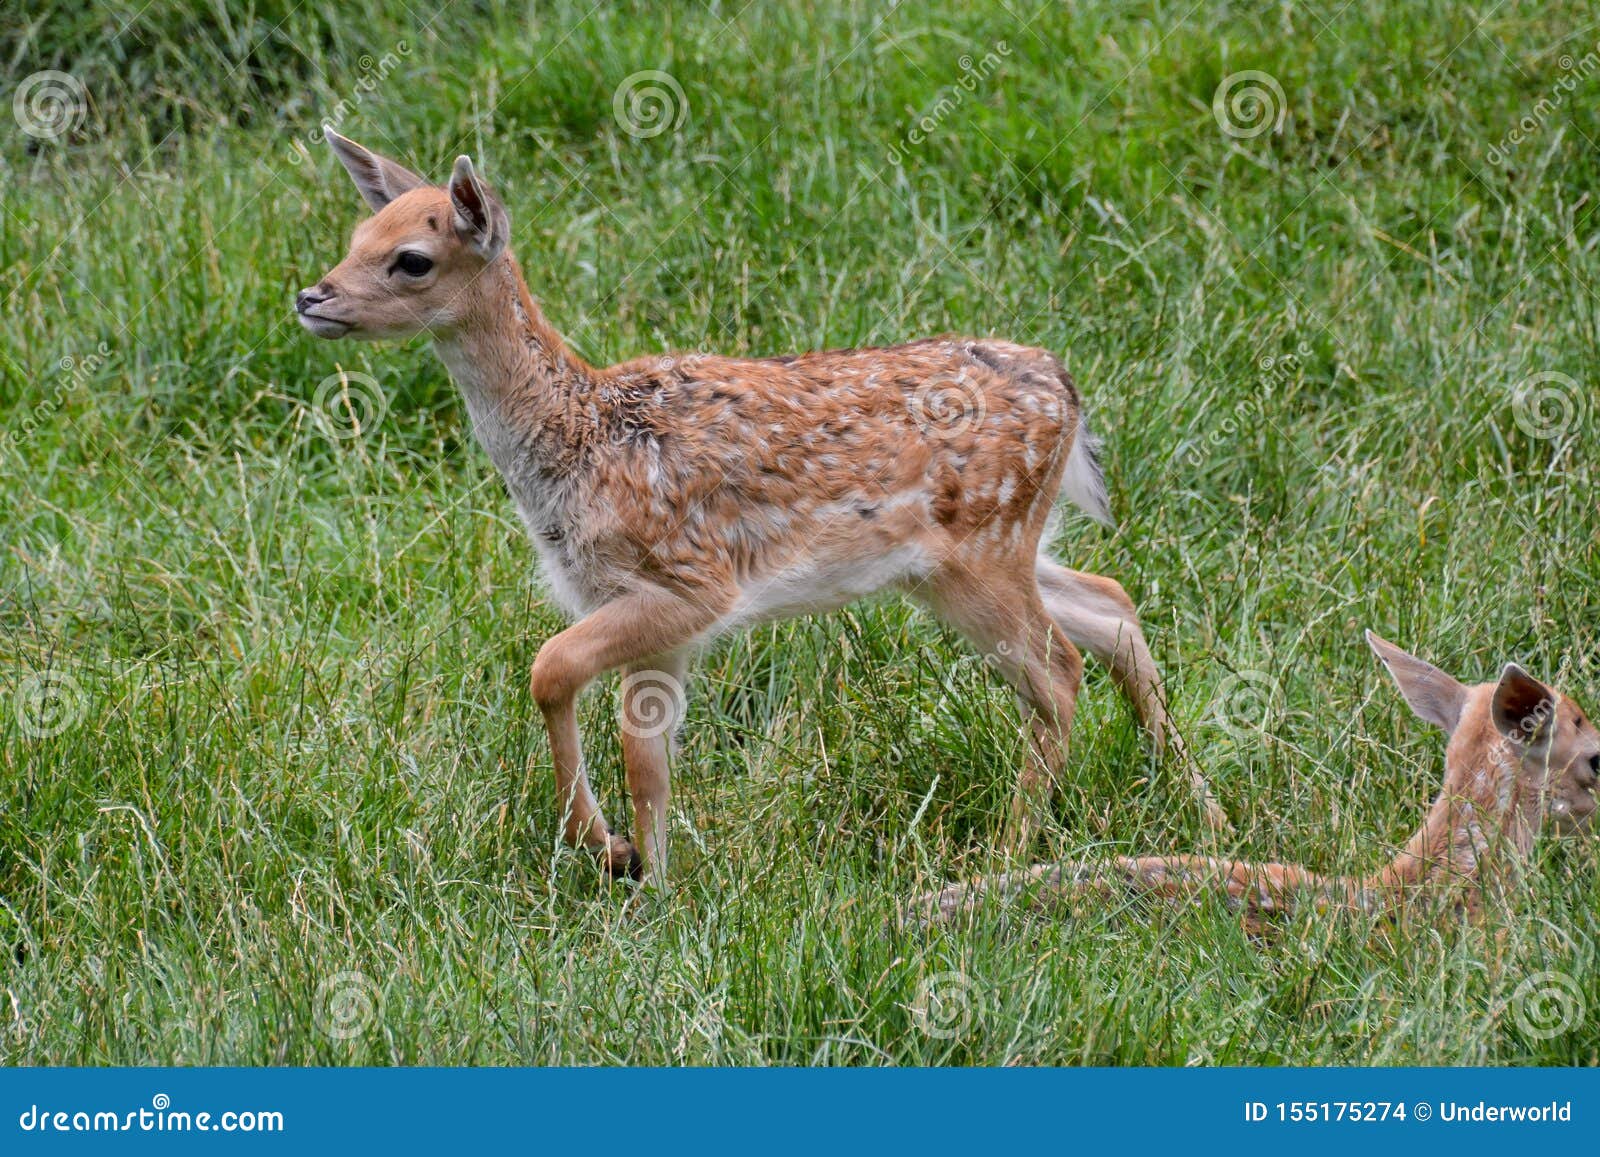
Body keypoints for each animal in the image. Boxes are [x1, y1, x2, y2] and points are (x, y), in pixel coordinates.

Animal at [295, 129, 1225, 888]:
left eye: (412, 257)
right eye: (353, 238)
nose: (311, 297)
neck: (581, 444)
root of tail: (1066, 389)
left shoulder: (690, 581)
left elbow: (550, 668)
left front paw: (608, 851)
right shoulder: (655, 619)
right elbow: (647, 756)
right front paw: (653, 887)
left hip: (980, 554)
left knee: (1058, 672)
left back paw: (1006, 851)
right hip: (984, 554)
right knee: (1111, 605)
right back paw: (1202, 810)